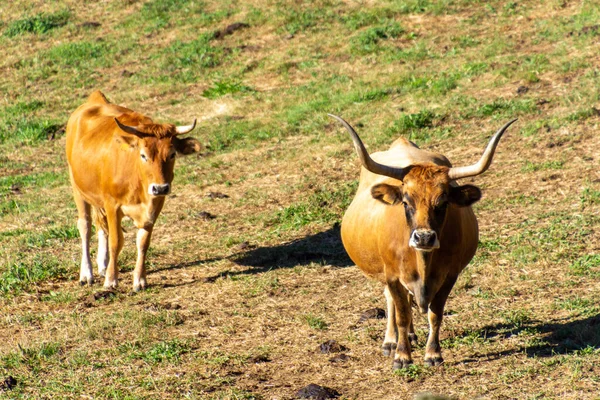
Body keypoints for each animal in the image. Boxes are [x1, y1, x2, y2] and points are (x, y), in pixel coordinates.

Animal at [67, 90, 200, 290]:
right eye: (143, 155)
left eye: (172, 154)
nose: (160, 187)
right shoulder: (112, 205)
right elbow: (116, 241)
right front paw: (111, 280)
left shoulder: (155, 206)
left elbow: (143, 243)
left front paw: (139, 280)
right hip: (78, 188)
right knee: (85, 226)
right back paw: (87, 273)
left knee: (101, 226)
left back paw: (103, 264)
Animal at [328, 114, 516, 370]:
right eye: (406, 202)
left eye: (443, 203)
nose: (424, 237)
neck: (423, 263)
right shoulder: (392, 275)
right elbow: (401, 314)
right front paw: (402, 356)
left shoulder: (450, 275)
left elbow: (435, 314)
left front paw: (433, 354)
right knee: (392, 302)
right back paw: (391, 341)